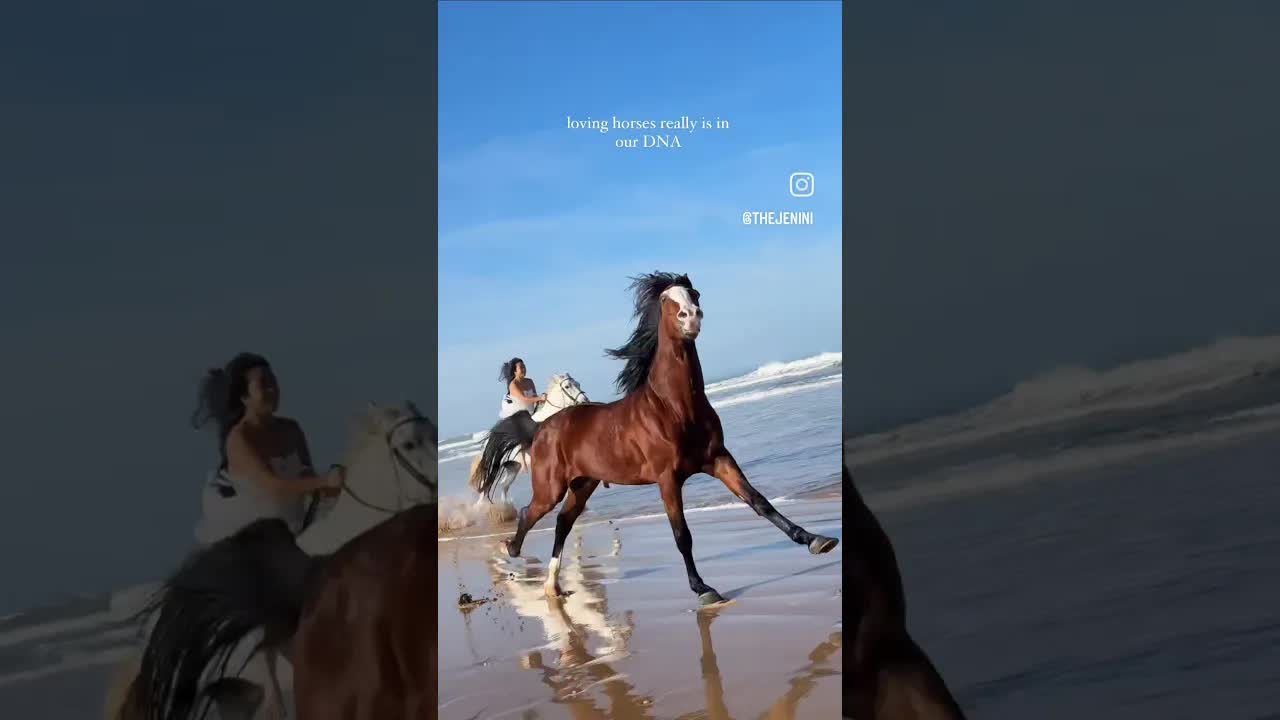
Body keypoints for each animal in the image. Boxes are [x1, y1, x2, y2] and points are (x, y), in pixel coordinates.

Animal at [467, 372, 591, 506]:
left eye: (578, 384)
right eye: (567, 386)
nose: (585, 401)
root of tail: (487, 441)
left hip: (513, 467)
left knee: (504, 485)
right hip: (495, 467)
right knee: (485, 487)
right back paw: (480, 507)